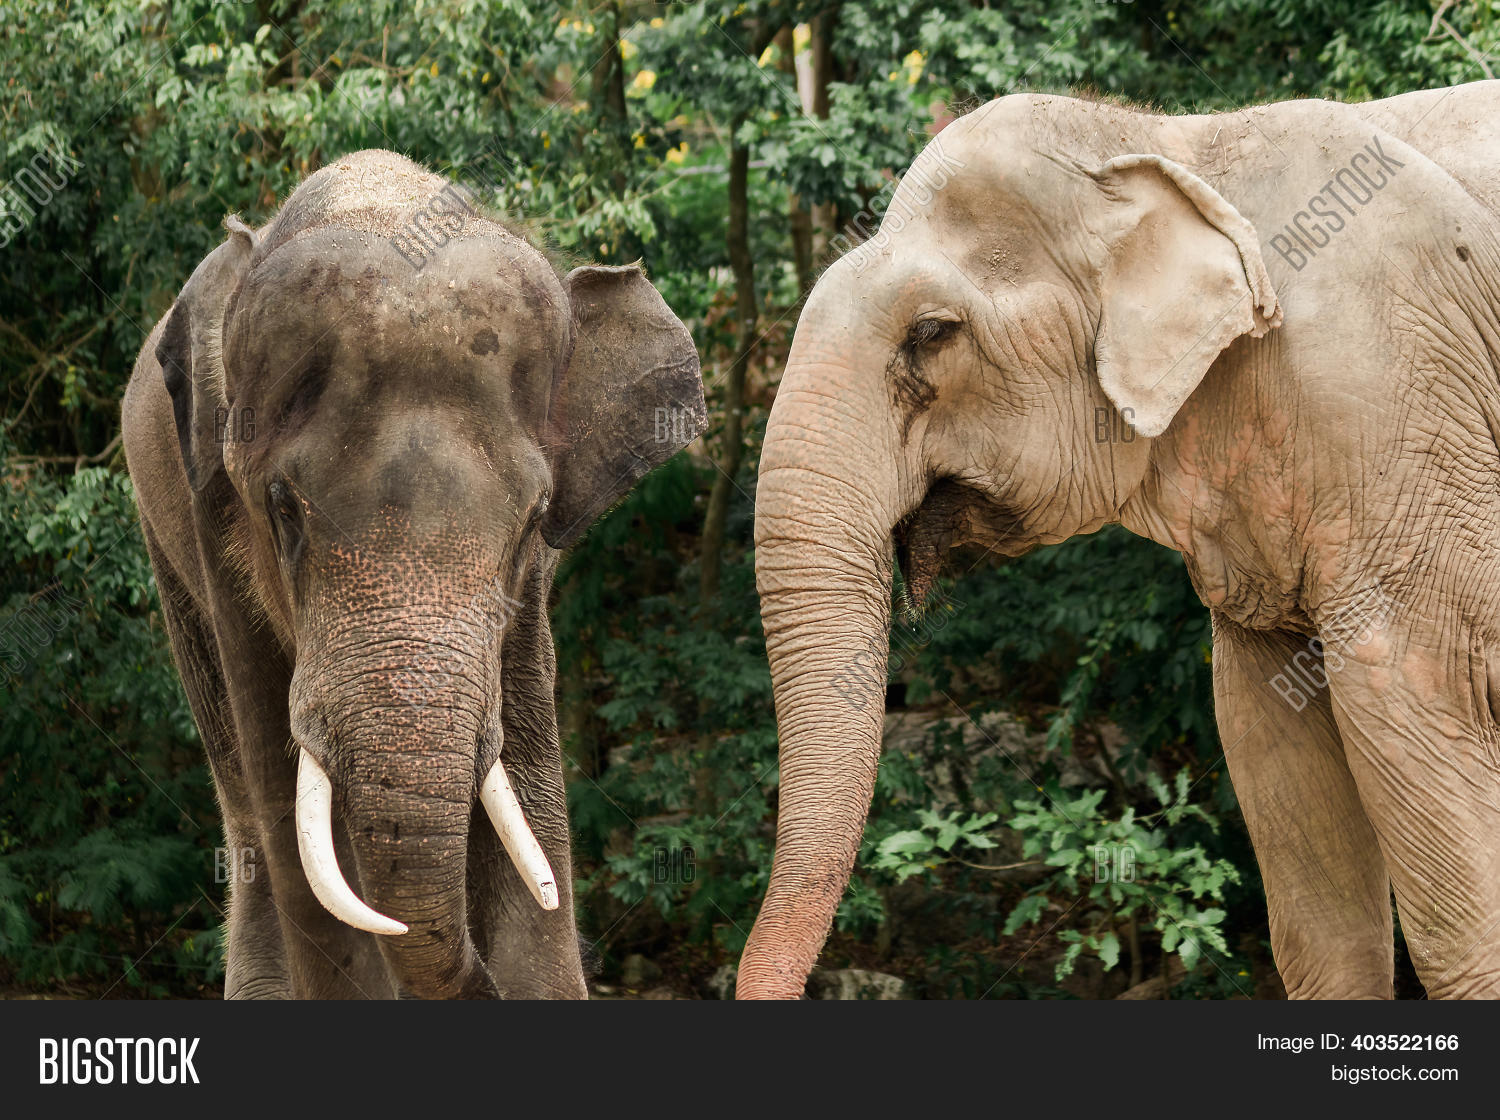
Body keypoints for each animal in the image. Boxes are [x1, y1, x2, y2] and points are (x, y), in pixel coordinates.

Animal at [121, 149, 705, 998]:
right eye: (284, 509)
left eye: (534, 520)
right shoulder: (212, 520)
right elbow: (286, 806)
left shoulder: (523, 604)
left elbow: (530, 785)